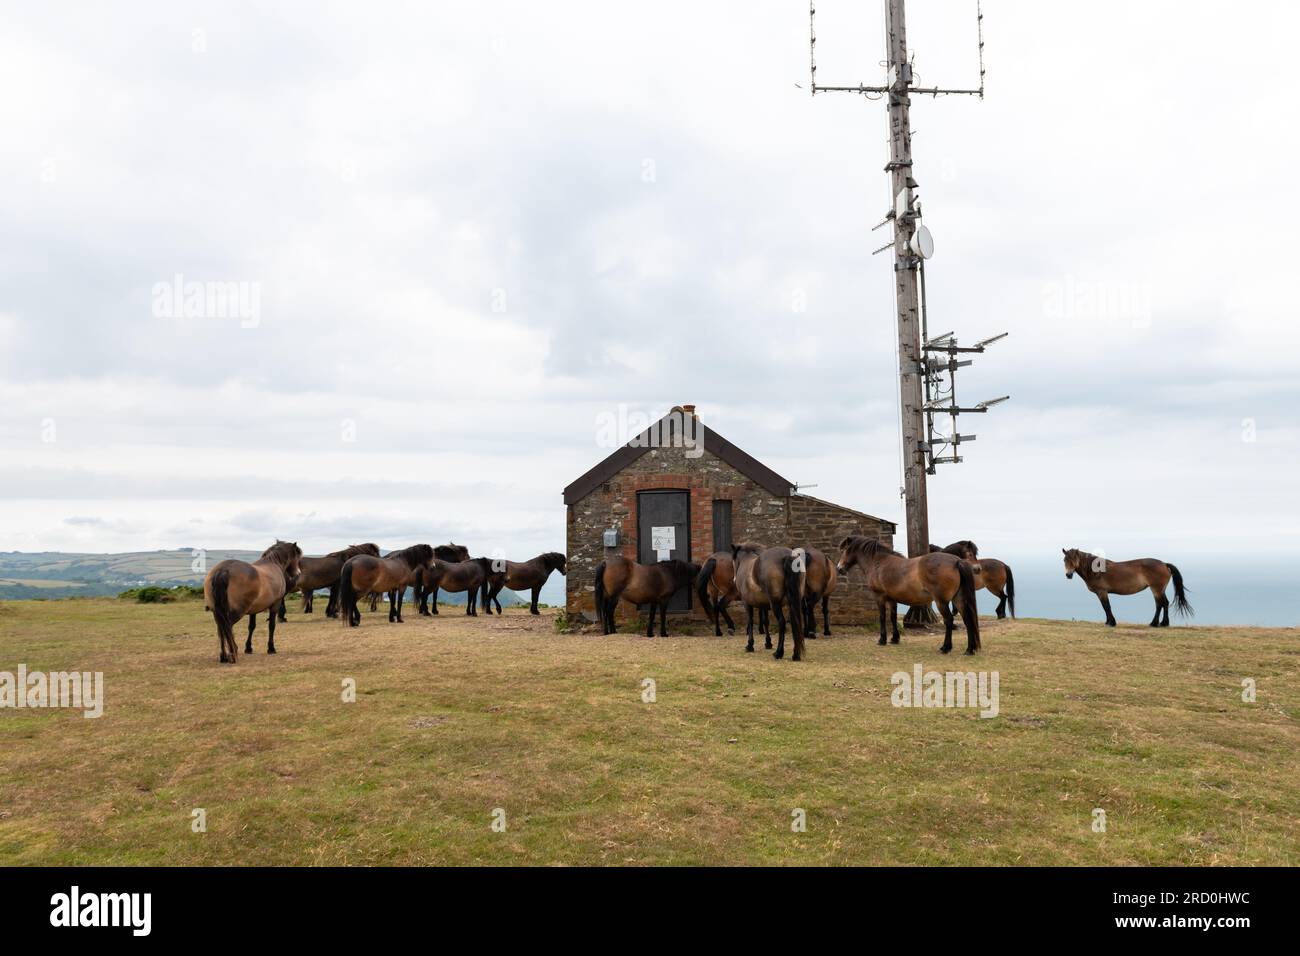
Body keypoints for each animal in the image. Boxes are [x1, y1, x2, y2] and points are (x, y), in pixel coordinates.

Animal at [837, 536, 980, 654]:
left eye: (844, 550)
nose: (839, 568)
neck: (879, 563)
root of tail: (956, 562)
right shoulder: (892, 599)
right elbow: (893, 617)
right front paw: (895, 639)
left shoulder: (880, 597)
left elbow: (882, 617)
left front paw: (882, 639)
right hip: (958, 599)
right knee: (968, 619)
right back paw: (970, 649)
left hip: (941, 602)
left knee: (949, 620)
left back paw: (946, 647)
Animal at [1062, 548, 1192, 627]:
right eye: (1064, 560)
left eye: (1074, 559)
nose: (1068, 575)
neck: (1096, 570)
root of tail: (1164, 564)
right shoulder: (1101, 593)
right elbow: (1105, 607)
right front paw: (1108, 622)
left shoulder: (1102, 592)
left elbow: (1106, 606)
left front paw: (1111, 623)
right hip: (1161, 589)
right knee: (1165, 603)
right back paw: (1164, 623)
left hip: (1156, 589)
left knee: (1159, 604)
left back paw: (1154, 623)